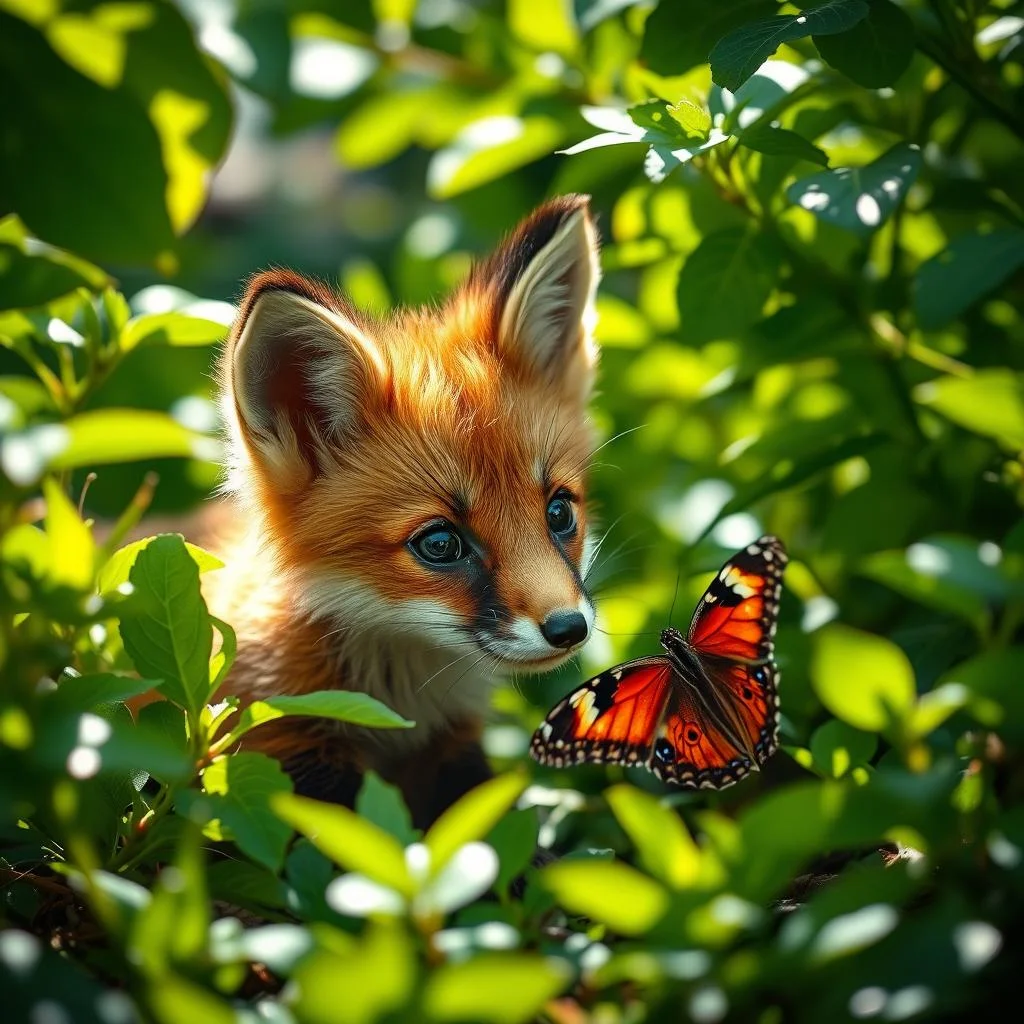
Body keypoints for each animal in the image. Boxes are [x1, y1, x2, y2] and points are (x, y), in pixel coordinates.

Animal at [205, 194, 603, 828]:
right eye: (439, 544)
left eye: (559, 512)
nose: (569, 628)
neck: (398, 705)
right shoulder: (292, 757)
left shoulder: (452, 755)